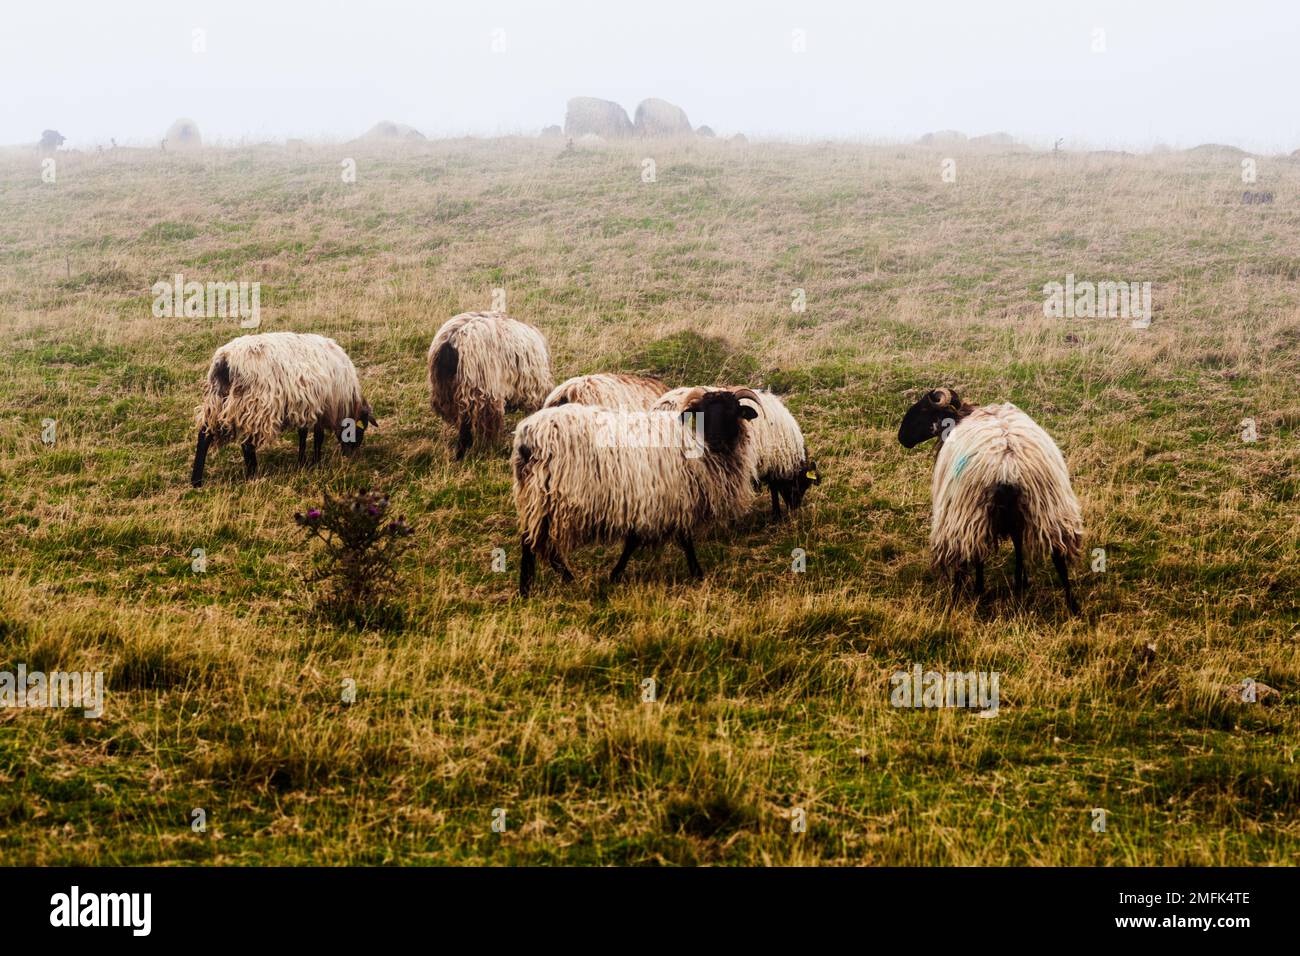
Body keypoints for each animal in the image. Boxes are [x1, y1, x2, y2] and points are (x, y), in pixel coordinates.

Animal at [191, 332, 376, 487]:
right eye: (362, 429)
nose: (350, 456)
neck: (346, 401)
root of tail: (226, 358)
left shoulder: (306, 406)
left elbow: (303, 434)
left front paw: (302, 461)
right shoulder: (322, 407)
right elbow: (318, 437)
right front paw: (316, 461)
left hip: (217, 399)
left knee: (204, 436)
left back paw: (196, 481)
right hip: (257, 405)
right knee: (247, 444)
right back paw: (253, 475)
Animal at [427, 311, 552, 459]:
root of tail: (452, 341)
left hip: (451, 391)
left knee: (464, 423)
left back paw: (461, 454)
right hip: (480, 391)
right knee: (472, 425)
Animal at [511, 387, 762, 595]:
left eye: (733, 412)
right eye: (703, 413)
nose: (718, 441)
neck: (698, 446)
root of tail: (527, 436)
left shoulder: (652, 501)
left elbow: (638, 541)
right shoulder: (667, 498)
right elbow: (678, 540)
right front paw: (697, 573)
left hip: (534, 494)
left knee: (532, 540)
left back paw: (539, 585)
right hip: (551, 495)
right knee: (537, 543)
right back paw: (550, 584)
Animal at [897, 388, 1083, 612]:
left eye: (924, 409)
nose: (902, 437)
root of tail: (1008, 466)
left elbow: (979, 558)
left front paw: (981, 590)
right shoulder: (1015, 518)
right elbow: (1018, 545)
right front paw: (1021, 582)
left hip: (968, 513)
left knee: (968, 556)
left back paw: (956, 602)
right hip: (1046, 507)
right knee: (1058, 557)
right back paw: (1072, 605)